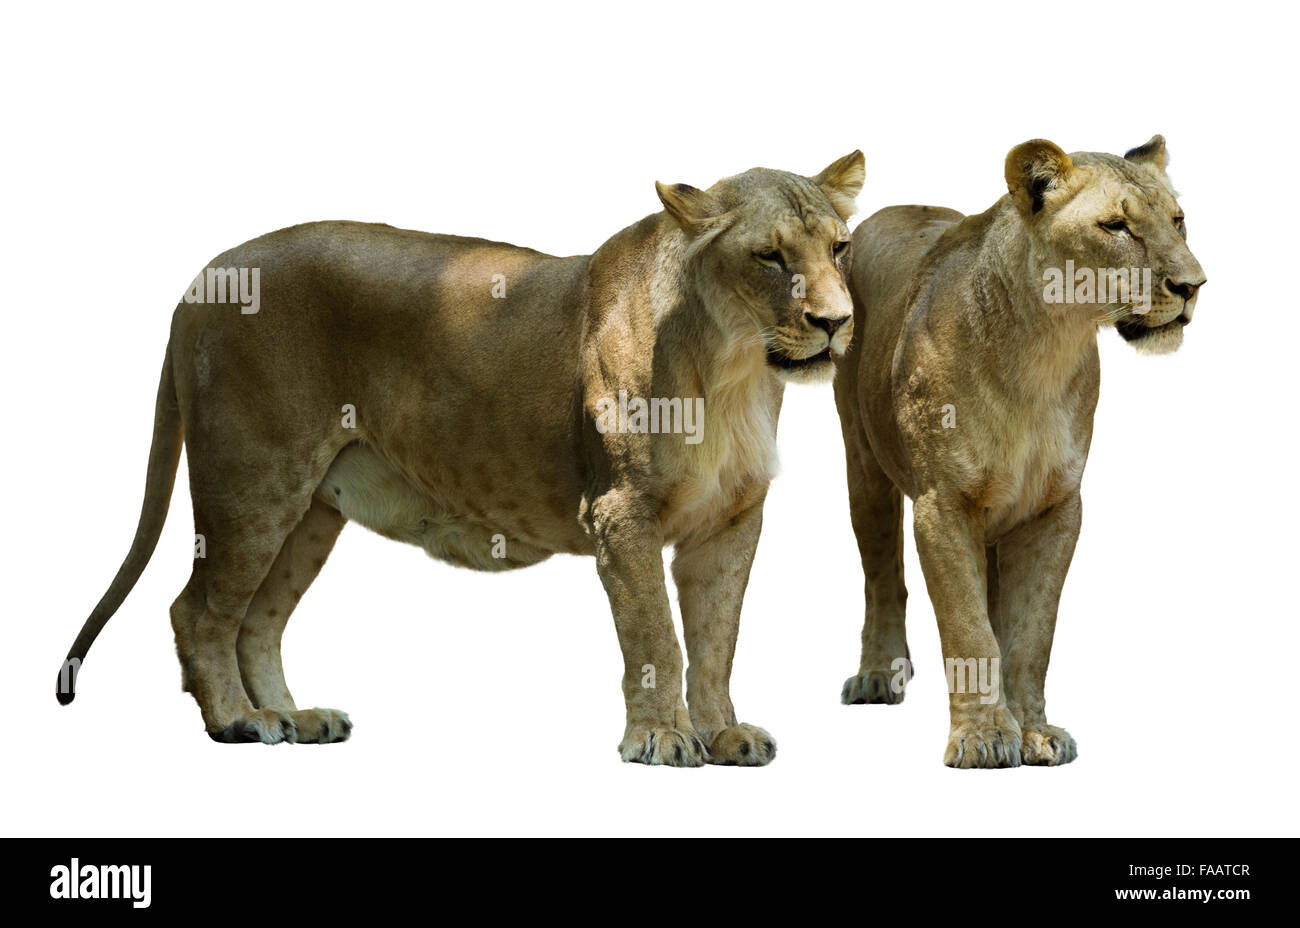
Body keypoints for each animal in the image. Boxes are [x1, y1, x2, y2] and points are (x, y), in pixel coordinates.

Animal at [56, 152, 866, 766]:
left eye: (839, 249)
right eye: (769, 256)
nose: (837, 322)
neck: (735, 369)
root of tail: (206, 277)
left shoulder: (730, 523)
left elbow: (716, 638)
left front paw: (722, 732)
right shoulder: (620, 512)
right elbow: (657, 639)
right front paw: (663, 738)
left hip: (311, 512)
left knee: (257, 620)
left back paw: (296, 717)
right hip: (254, 483)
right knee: (198, 611)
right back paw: (239, 722)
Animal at [835, 136, 1205, 767]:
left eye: (1178, 221)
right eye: (1117, 227)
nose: (1194, 285)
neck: (1044, 350)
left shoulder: (1056, 508)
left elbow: (1031, 633)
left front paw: (1032, 731)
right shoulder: (944, 506)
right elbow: (967, 627)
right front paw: (984, 736)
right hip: (864, 463)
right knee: (882, 574)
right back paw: (878, 676)